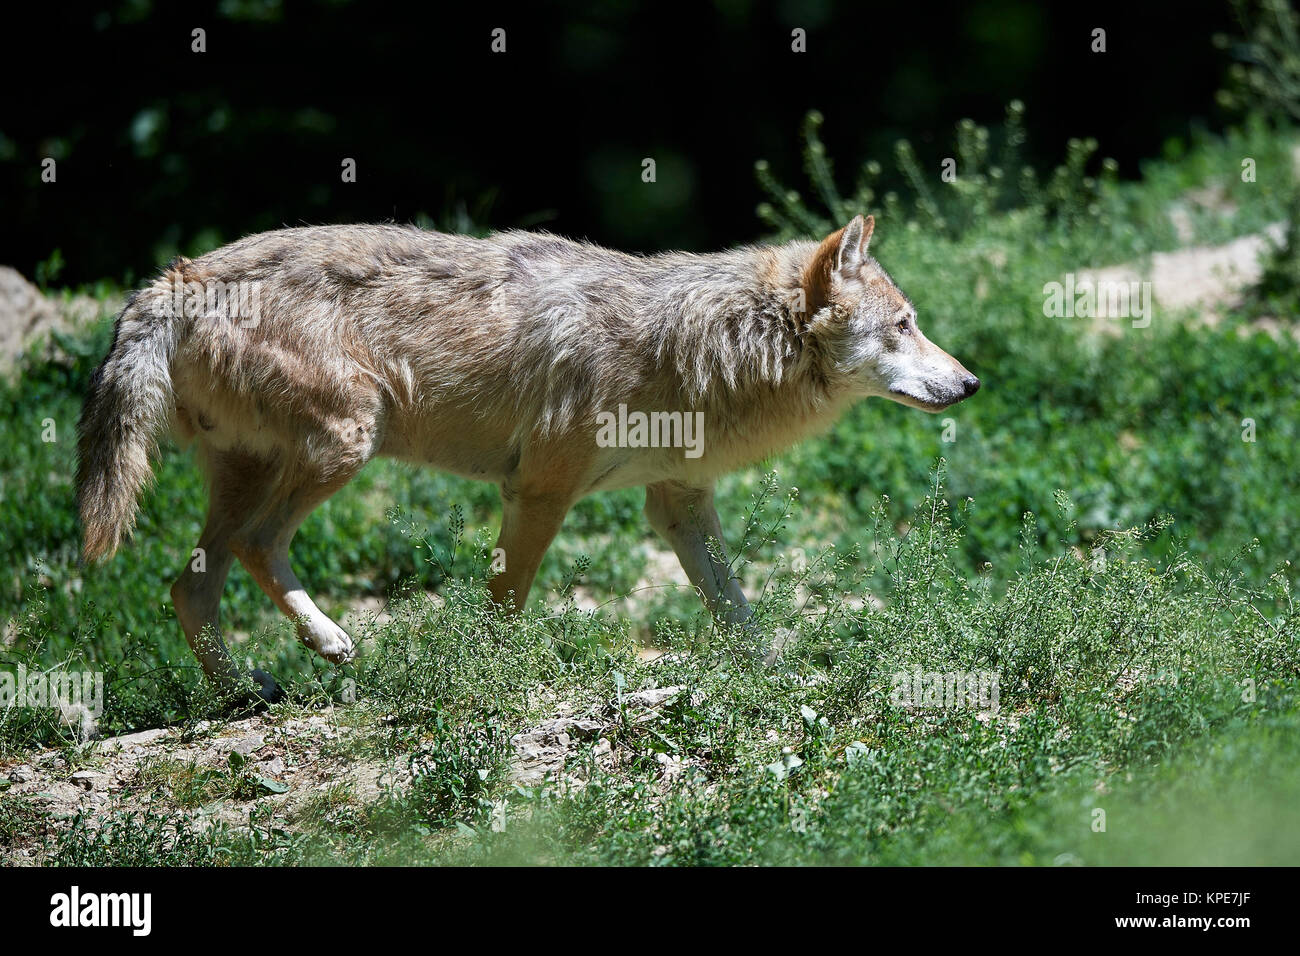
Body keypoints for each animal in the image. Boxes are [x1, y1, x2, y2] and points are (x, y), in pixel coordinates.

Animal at [77, 215, 978, 702]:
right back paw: (330, 643)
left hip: (254, 475)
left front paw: (780, 680)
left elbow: (738, 613)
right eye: (904, 327)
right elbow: (505, 607)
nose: (970, 383)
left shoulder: (678, 503)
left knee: (188, 588)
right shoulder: (539, 492)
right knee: (258, 547)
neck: (693, 345)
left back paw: (242, 696)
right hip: (347, 439)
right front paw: (490, 681)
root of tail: (173, 278)